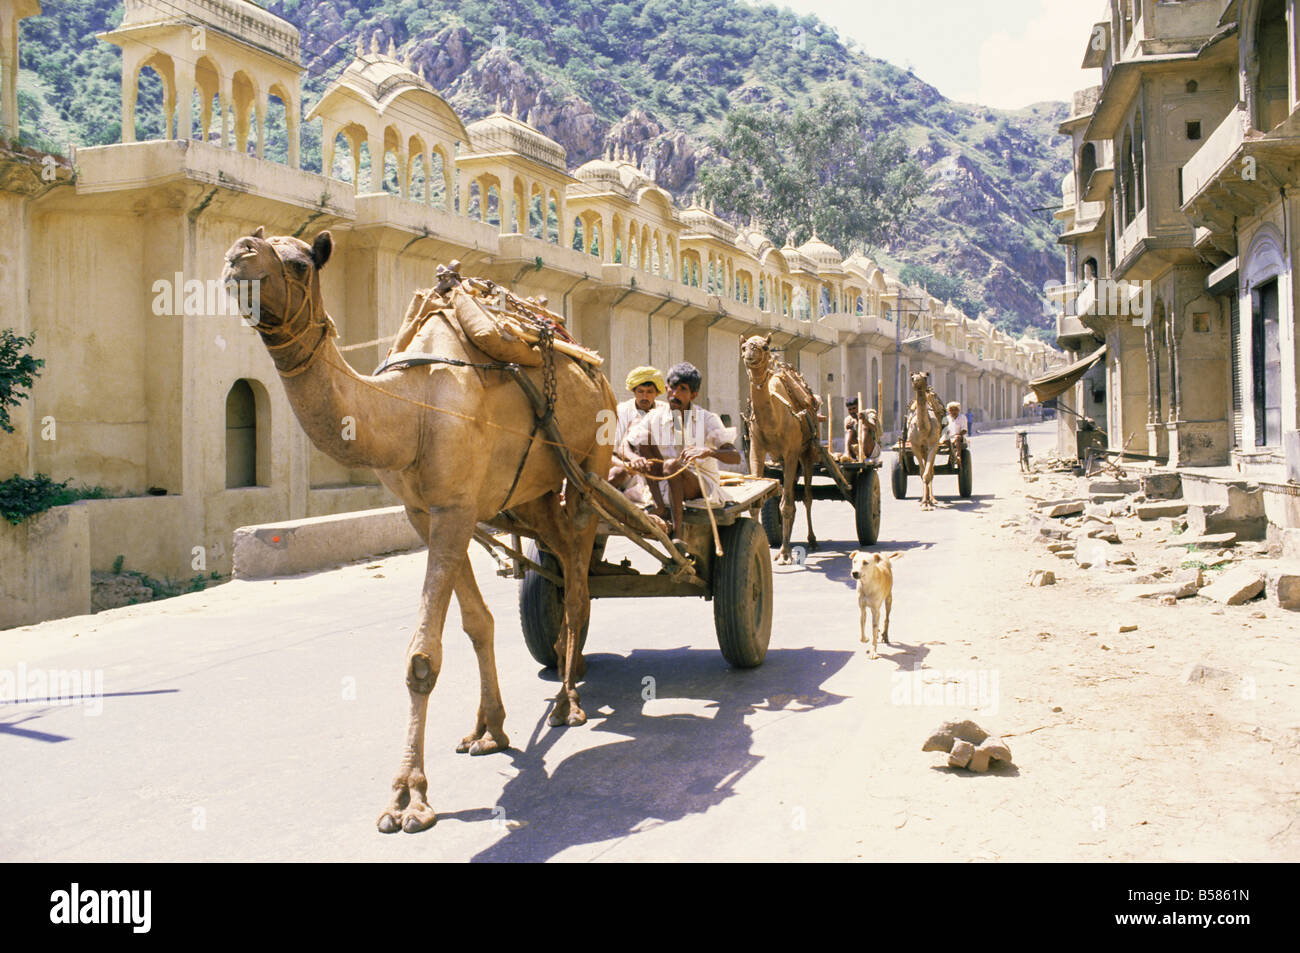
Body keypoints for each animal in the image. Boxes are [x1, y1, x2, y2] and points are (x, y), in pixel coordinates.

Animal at [221, 227, 615, 834]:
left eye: (300, 262)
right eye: (255, 244)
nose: (238, 253)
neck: (410, 411)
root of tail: (594, 368)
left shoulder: (453, 508)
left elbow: (421, 658)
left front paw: (408, 798)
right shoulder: (427, 513)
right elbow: (477, 623)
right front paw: (488, 730)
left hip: (590, 467)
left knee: (576, 574)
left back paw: (570, 702)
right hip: (535, 492)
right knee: (561, 556)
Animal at [741, 333, 820, 565]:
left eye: (765, 347)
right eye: (743, 346)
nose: (749, 355)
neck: (773, 420)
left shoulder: (792, 452)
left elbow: (786, 505)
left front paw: (784, 555)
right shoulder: (756, 450)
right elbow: (758, 500)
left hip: (808, 452)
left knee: (806, 496)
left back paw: (811, 540)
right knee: (791, 494)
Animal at [906, 372, 943, 510]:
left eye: (925, 376)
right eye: (912, 377)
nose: (916, 381)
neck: (923, 430)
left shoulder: (933, 445)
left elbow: (927, 474)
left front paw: (928, 503)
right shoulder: (915, 446)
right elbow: (922, 473)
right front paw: (923, 502)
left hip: (930, 448)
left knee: (931, 471)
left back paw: (933, 499)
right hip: (922, 449)